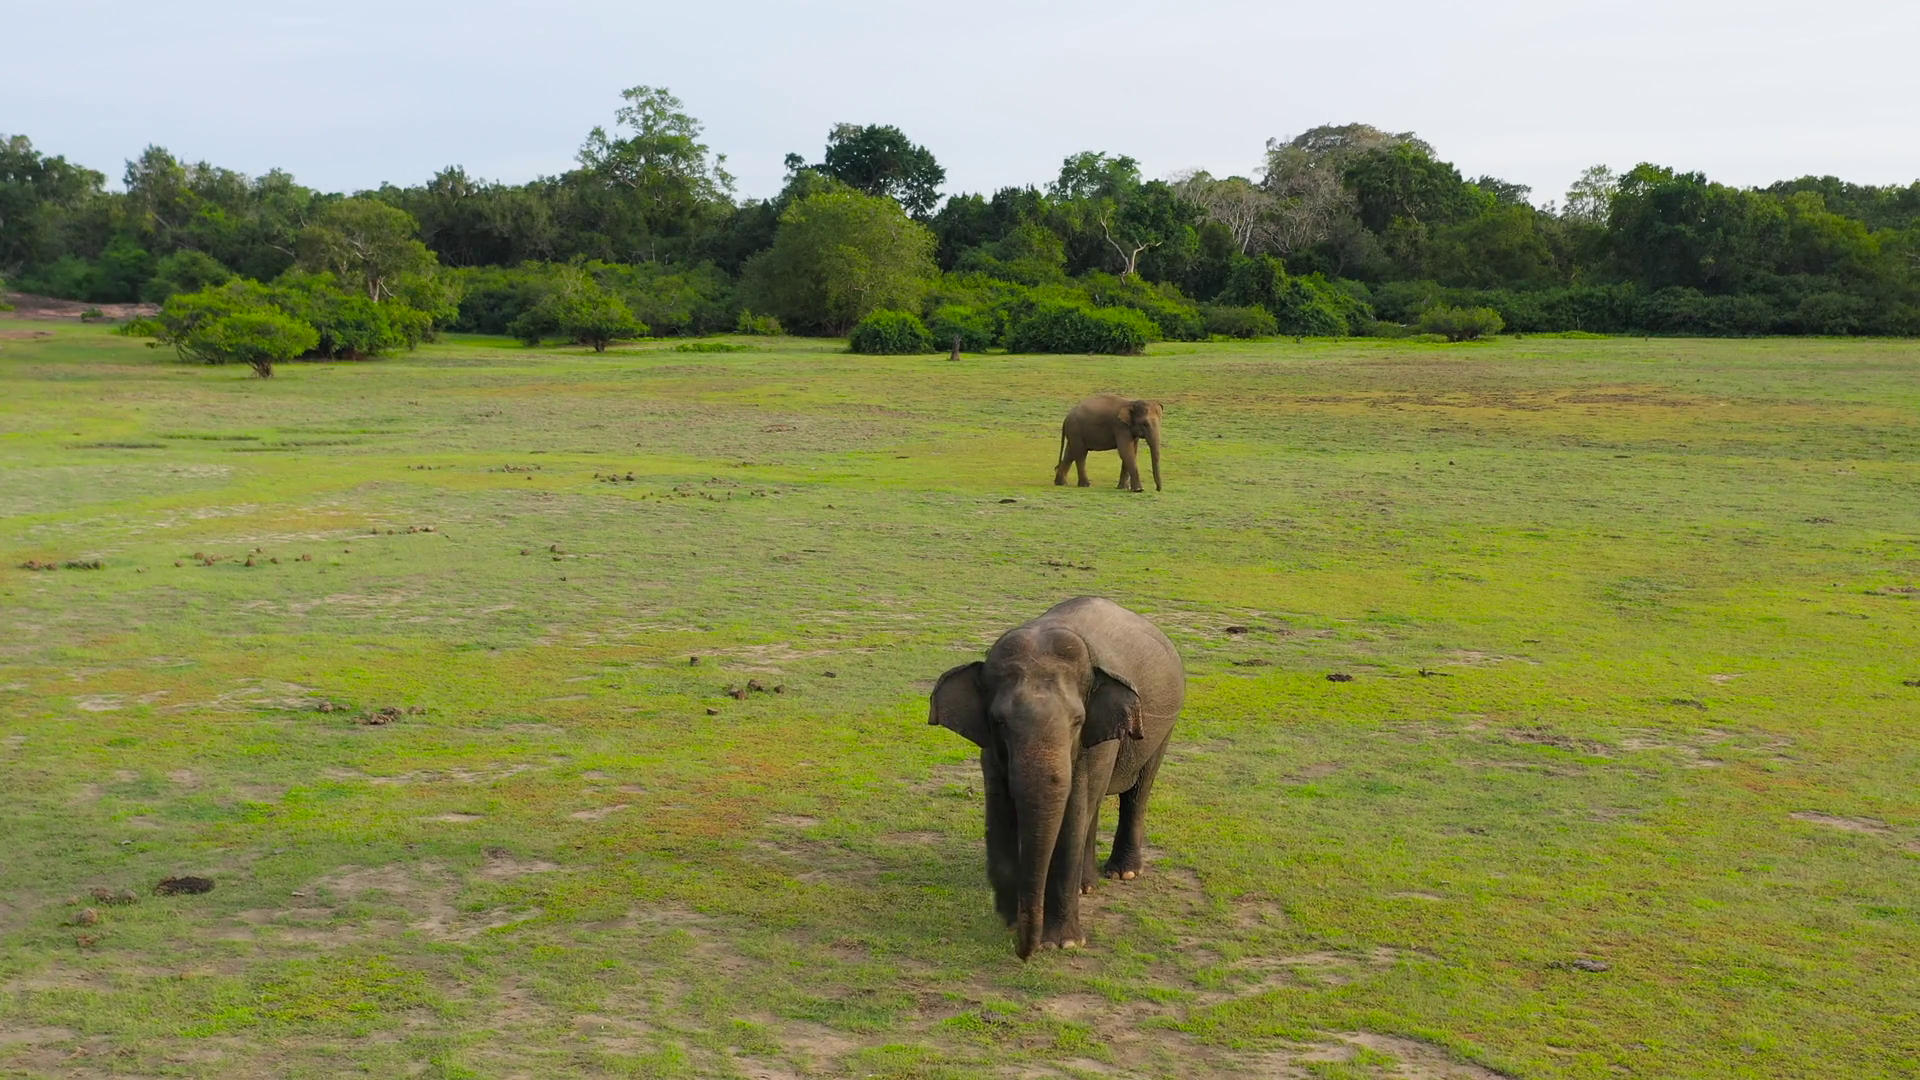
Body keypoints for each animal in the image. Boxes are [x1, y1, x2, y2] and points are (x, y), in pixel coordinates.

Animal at [928, 596, 1185, 958]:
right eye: (999, 722)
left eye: (1077, 721)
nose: (1025, 952)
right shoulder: (990, 750)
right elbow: (1000, 809)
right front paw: (1009, 921)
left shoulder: (1095, 739)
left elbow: (1074, 809)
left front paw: (1063, 942)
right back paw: (1086, 886)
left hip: (1165, 726)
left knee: (1137, 790)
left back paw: (1123, 873)